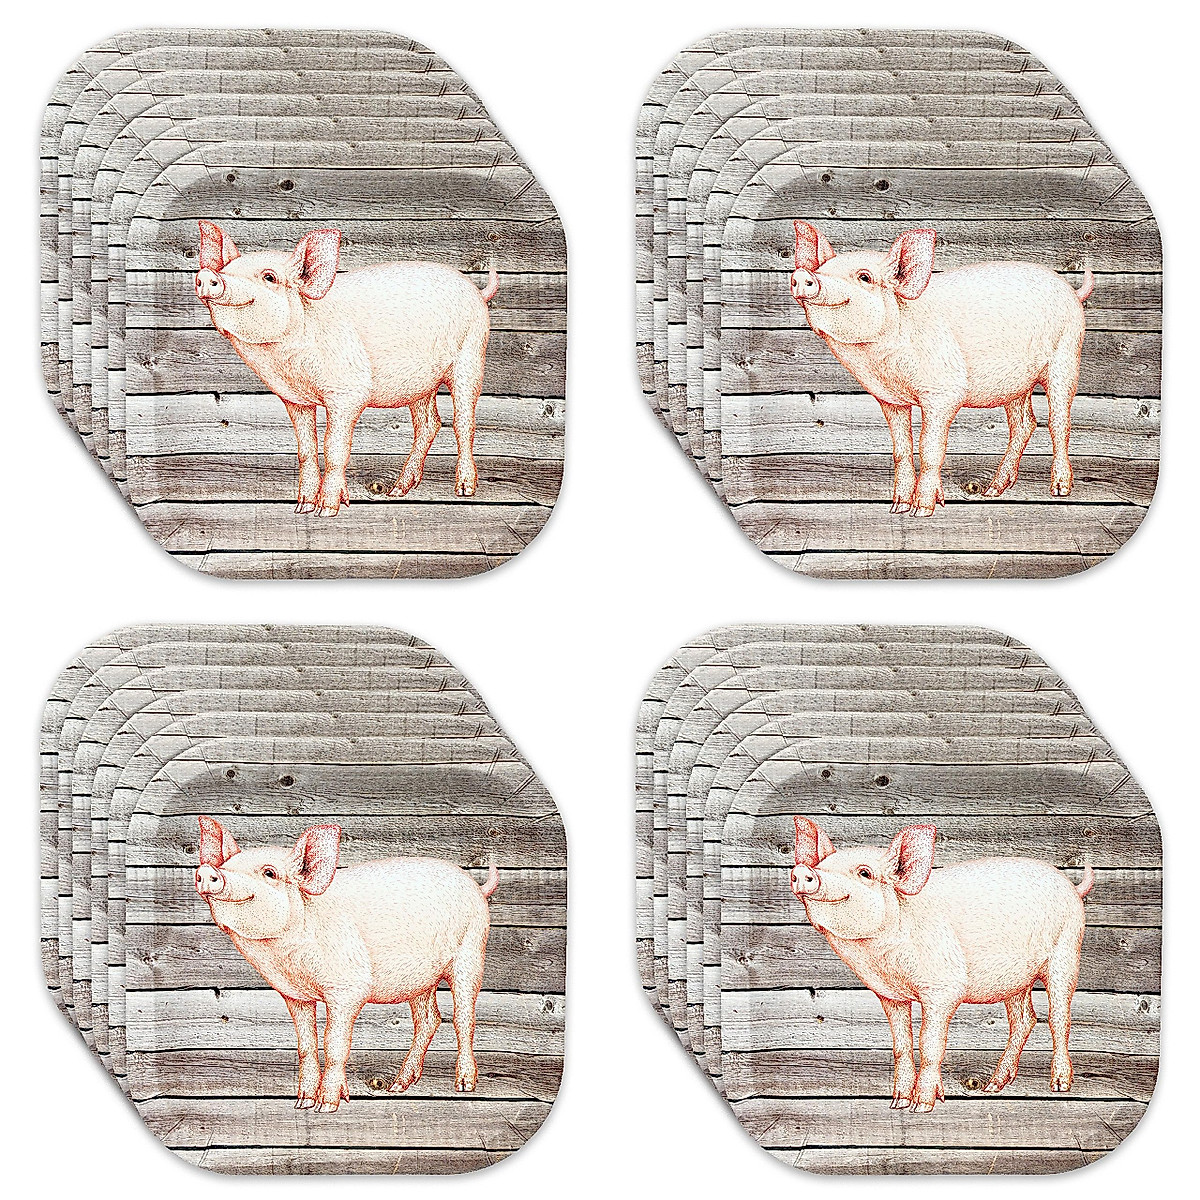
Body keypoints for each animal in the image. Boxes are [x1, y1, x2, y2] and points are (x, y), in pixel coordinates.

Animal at [194, 221, 498, 515]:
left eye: (269, 277)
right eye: (225, 270)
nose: (207, 276)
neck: (286, 360)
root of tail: (477, 291)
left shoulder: (348, 393)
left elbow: (334, 447)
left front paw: (327, 510)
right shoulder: (294, 399)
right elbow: (306, 448)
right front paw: (302, 508)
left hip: (472, 356)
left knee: (463, 421)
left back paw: (464, 489)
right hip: (420, 384)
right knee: (429, 424)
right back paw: (398, 490)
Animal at [194, 816, 498, 1111]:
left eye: (269, 873)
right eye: (225, 866)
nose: (208, 872)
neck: (286, 957)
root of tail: (477, 886)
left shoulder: (348, 989)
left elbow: (334, 1043)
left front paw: (326, 1106)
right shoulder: (294, 995)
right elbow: (306, 1044)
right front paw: (302, 1103)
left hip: (472, 951)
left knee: (463, 1017)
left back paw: (464, 1085)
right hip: (420, 980)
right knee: (428, 1020)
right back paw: (398, 1086)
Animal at [789, 221, 1094, 515]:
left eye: (865, 277)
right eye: (821, 270)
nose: (802, 276)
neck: (880, 361)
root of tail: (1072, 290)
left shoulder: (944, 392)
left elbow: (929, 447)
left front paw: (922, 510)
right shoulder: (890, 400)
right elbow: (901, 449)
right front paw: (897, 508)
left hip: (1067, 356)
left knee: (1058, 421)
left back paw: (1059, 489)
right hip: (1016, 384)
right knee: (1024, 424)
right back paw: (993, 490)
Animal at [790, 817, 1093, 1112]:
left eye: (865, 873)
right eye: (821, 866)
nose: (803, 872)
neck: (880, 956)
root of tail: (1072, 886)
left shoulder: (943, 988)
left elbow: (929, 1043)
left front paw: (922, 1106)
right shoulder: (890, 995)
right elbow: (901, 1044)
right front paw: (897, 1103)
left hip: (1067, 951)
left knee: (1058, 1017)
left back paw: (1059, 1085)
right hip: (1016, 980)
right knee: (1024, 1020)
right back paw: (993, 1086)